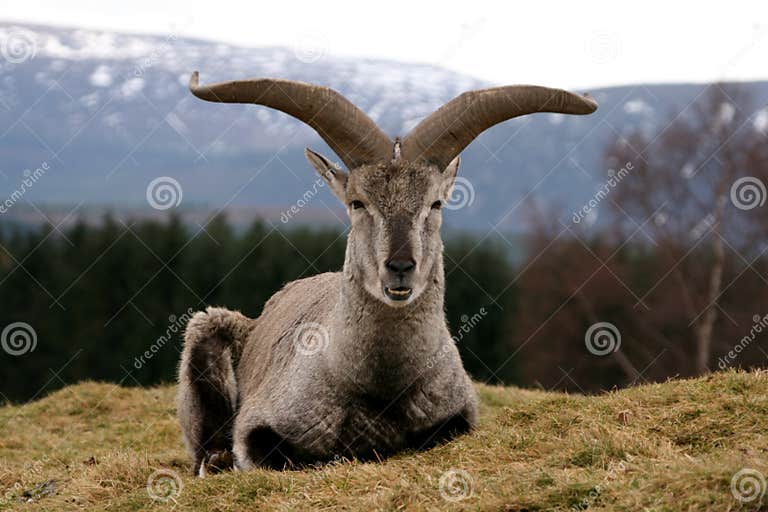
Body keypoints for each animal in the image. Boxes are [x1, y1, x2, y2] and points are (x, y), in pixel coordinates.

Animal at [178, 72, 598, 475]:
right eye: (357, 202)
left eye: (436, 202)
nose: (399, 267)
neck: (377, 384)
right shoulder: (260, 421)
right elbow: (269, 451)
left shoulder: (458, 412)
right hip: (205, 328)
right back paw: (215, 458)